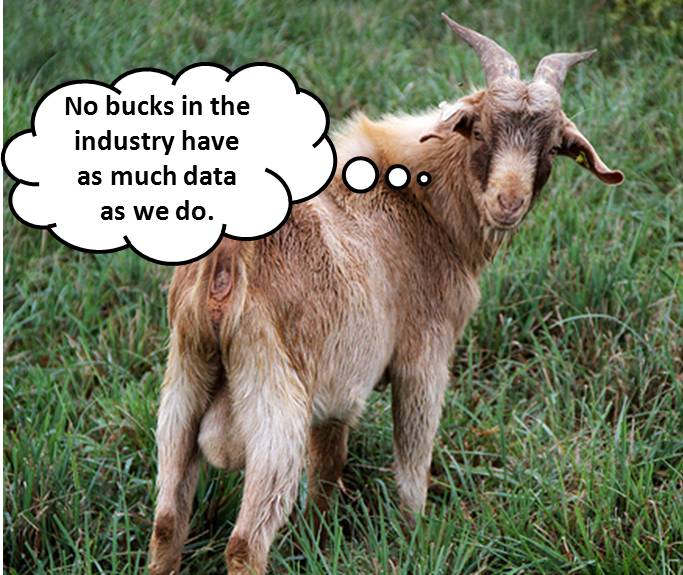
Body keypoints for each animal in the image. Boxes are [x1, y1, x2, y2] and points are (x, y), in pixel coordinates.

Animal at [148, 14, 623, 575]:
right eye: (480, 129)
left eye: (550, 148)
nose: (508, 202)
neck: (421, 205)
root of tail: (224, 271)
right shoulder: (425, 356)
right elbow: (412, 466)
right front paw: (414, 536)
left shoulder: (336, 395)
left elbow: (328, 467)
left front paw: (321, 537)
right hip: (273, 407)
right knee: (245, 543)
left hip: (181, 392)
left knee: (167, 522)